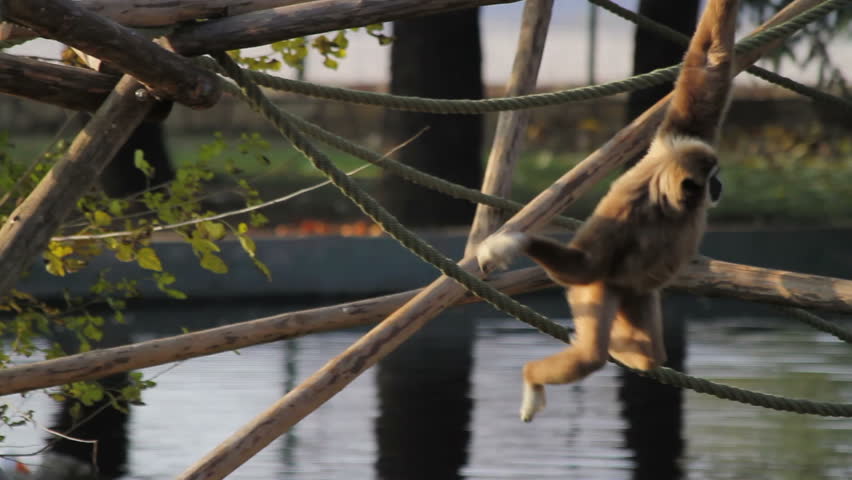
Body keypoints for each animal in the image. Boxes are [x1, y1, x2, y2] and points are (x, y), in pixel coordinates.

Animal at [476, 0, 737, 423]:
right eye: (712, 178)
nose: (719, 186)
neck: (667, 202)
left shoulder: (676, 139)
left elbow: (709, 61)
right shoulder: (623, 214)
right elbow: (584, 263)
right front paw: (511, 245)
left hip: (635, 293)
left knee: (646, 352)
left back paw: (624, 351)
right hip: (599, 289)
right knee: (590, 351)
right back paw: (536, 376)